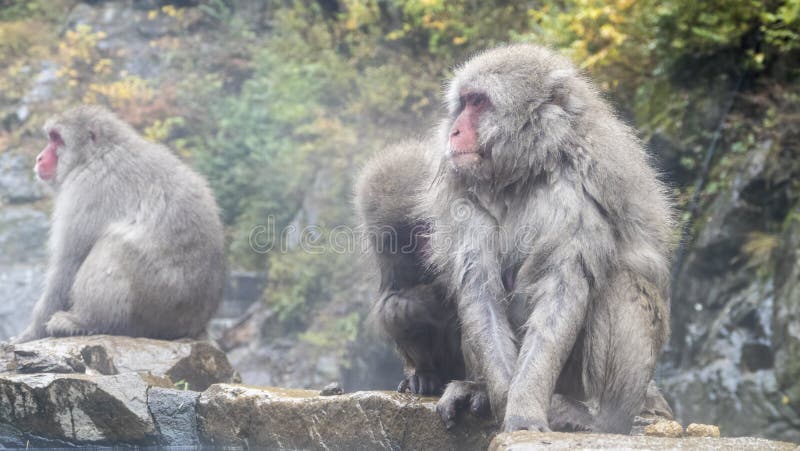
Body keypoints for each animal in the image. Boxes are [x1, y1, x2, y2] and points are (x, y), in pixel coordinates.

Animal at [12, 105, 225, 343]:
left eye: (57, 139)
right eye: (51, 138)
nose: (39, 158)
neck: (96, 155)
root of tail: (196, 325)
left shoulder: (87, 188)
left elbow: (69, 261)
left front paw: (31, 333)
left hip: (158, 302)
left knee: (114, 245)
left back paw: (85, 321)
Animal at [356, 44, 674, 434]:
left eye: (478, 102)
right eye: (463, 102)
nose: (455, 131)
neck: (523, 171)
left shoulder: (578, 192)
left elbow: (562, 289)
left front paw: (523, 409)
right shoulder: (465, 194)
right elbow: (479, 288)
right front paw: (504, 399)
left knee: (620, 281)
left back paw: (600, 418)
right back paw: (473, 386)